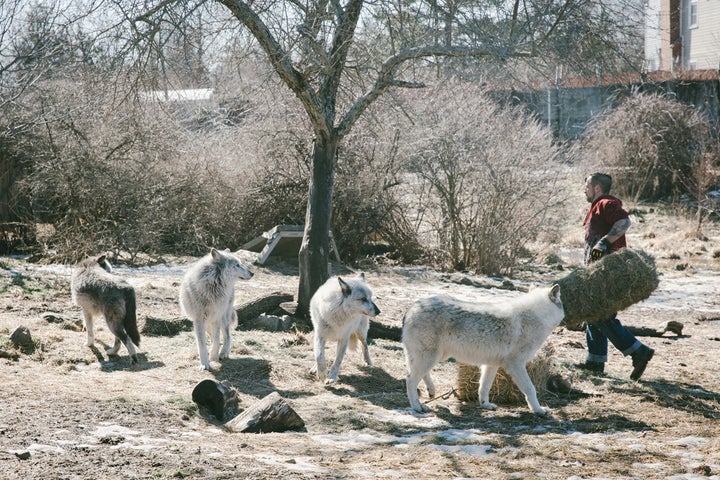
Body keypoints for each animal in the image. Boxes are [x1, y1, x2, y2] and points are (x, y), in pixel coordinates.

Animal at [402, 284, 563, 415]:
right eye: (562, 303)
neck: (536, 317)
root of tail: (412, 308)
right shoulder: (516, 365)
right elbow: (530, 389)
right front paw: (539, 410)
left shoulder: (491, 364)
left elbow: (484, 387)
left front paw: (485, 405)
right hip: (431, 357)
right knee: (410, 379)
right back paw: (417, 406)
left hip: (435, 357)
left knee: (420, 374)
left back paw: (431, 391)